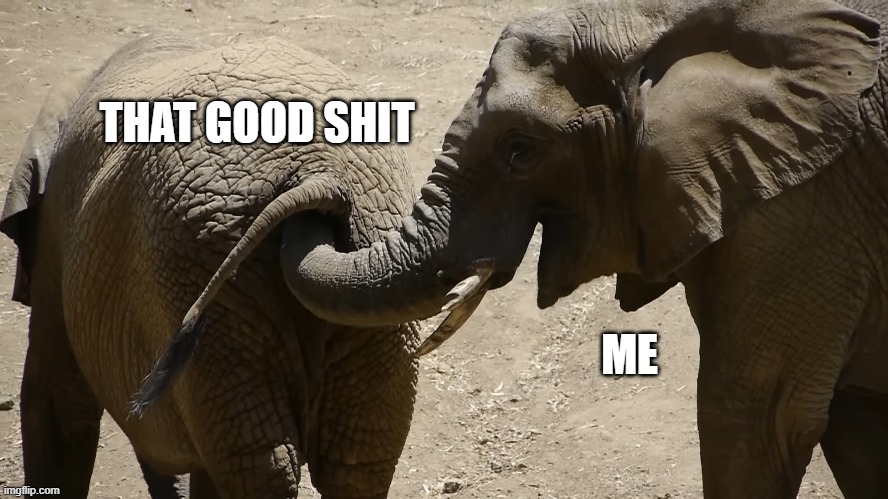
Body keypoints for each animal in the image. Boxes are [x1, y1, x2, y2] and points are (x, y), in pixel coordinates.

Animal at [0, 32, 477, 498]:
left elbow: (57, 403)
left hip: (200, 265)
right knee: (350, 463)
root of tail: (319, 174)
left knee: (262, 465)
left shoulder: (54, 241)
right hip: (353, 262)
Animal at [132, 0, 888, 497]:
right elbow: (854, 424)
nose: (321, 192)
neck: (663, 21)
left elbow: (760, 416)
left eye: (520, 151)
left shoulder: (803, 201)